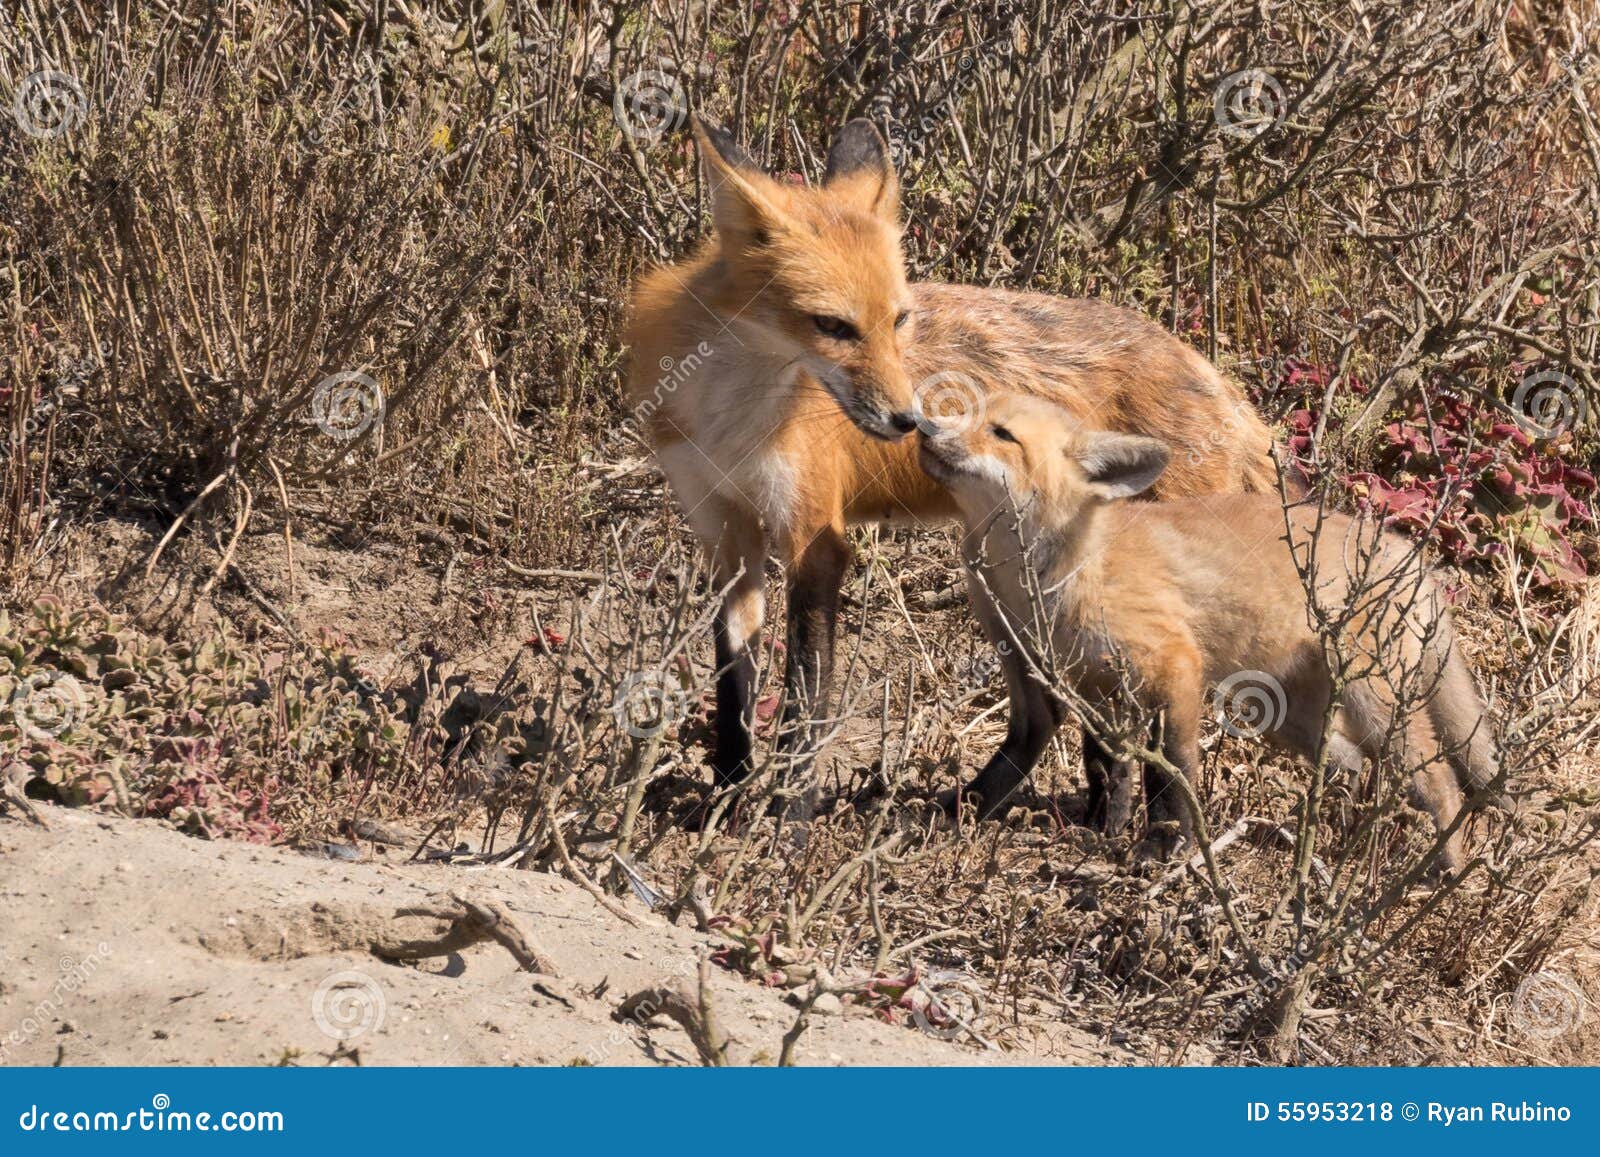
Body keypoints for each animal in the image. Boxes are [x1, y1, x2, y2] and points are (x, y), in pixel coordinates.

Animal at [626, 116, 1282, 797]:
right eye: (832, 326)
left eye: (900, 319)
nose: (910, 420)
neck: (735, 418)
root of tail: (1212, 374)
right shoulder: (724, 532)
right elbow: (733, 683)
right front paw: (725, 790)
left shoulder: (816, 537)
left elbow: (807, 696)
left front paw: (787, 810)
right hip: (998, 588)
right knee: (1049, 716)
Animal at [917, 392, 1503, 871]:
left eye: (1001, 433)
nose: (920, 426)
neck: (1042, 583)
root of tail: (1411, 556)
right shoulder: (1057, 680)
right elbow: (1078, 763)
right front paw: (978, 810)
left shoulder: (1174, 667)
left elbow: (1170, 773)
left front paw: (1161, 843)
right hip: (1286, 718)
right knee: (1352, 763)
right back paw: (1332, 836)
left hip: (1373, 701)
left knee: (1441, 783)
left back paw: (1442, 870)